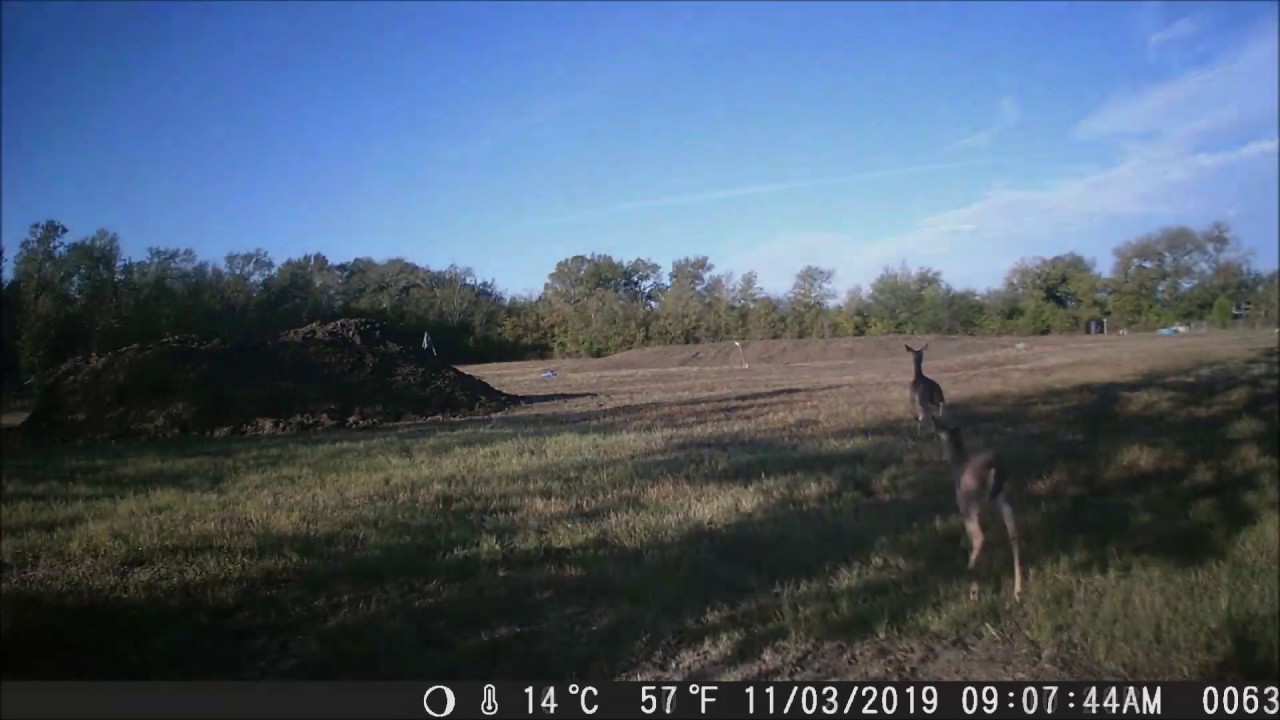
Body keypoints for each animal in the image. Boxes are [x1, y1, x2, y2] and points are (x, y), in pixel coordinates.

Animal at [933, 416, 1023, 603]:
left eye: (938, 436)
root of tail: (996, 468)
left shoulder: (964, 507)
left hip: (971, 505)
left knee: (980, 537)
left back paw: (972, 585)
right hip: (1007, 499)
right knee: (1014, 536)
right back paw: (1017, 592)